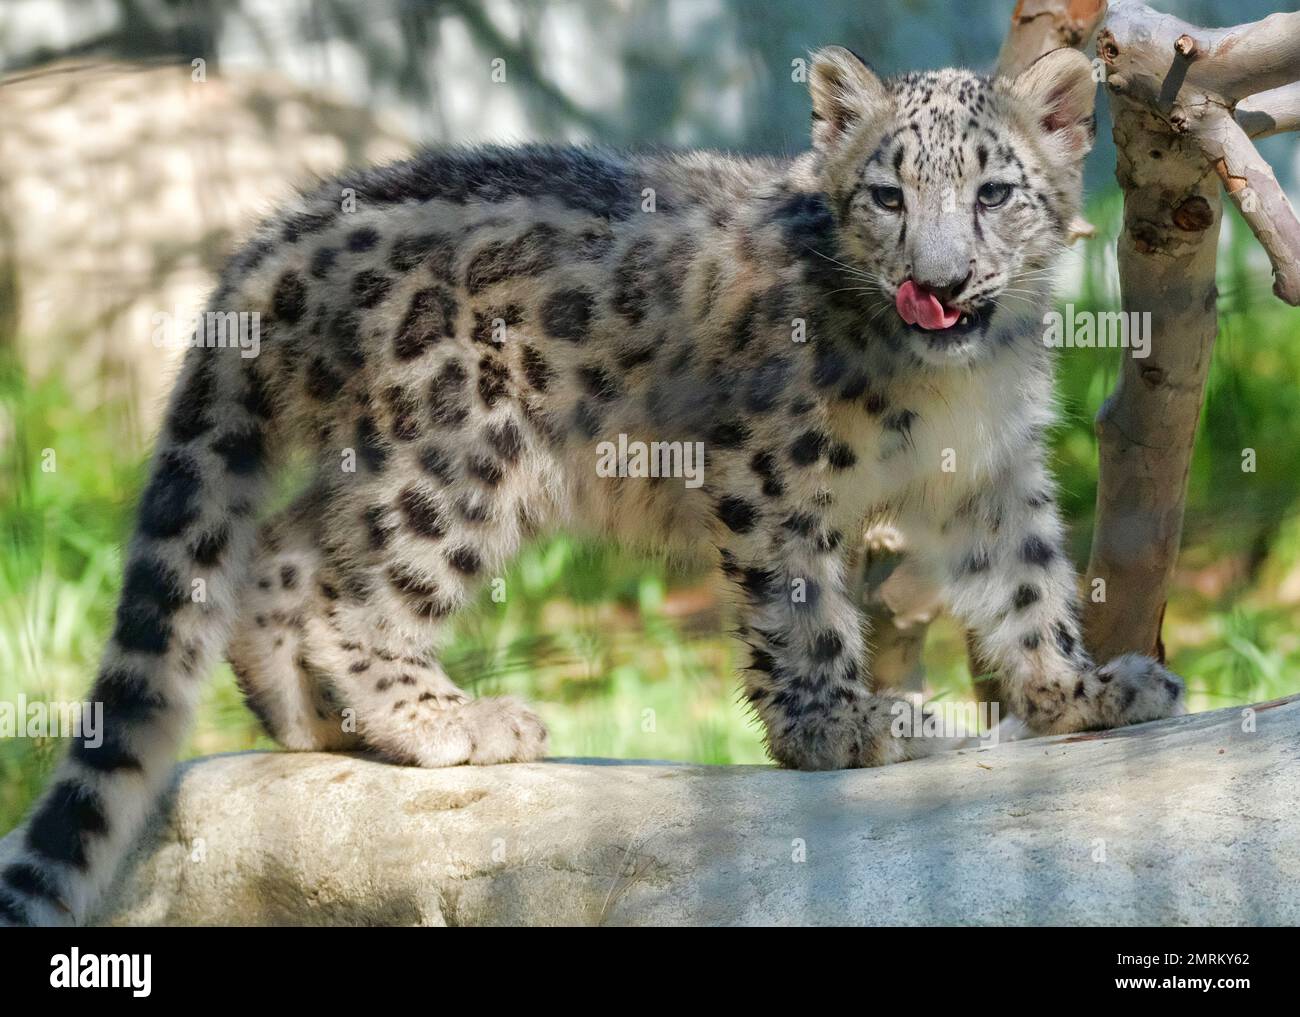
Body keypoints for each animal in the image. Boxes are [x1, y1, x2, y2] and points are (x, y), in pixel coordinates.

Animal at [0, 45, 1184, 926]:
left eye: (995, 192)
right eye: (887, 195)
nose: (937, 282)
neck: (951, 385)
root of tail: (281, 237)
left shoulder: (988, 476)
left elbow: (1027, 583)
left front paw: (1081, 691)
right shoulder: (771, 466)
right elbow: (799, 606)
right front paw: (841, 724)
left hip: (372, 458)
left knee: (287, 555)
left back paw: (315, 723)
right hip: (460, 457)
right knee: (355, 589)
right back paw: (446, 721)